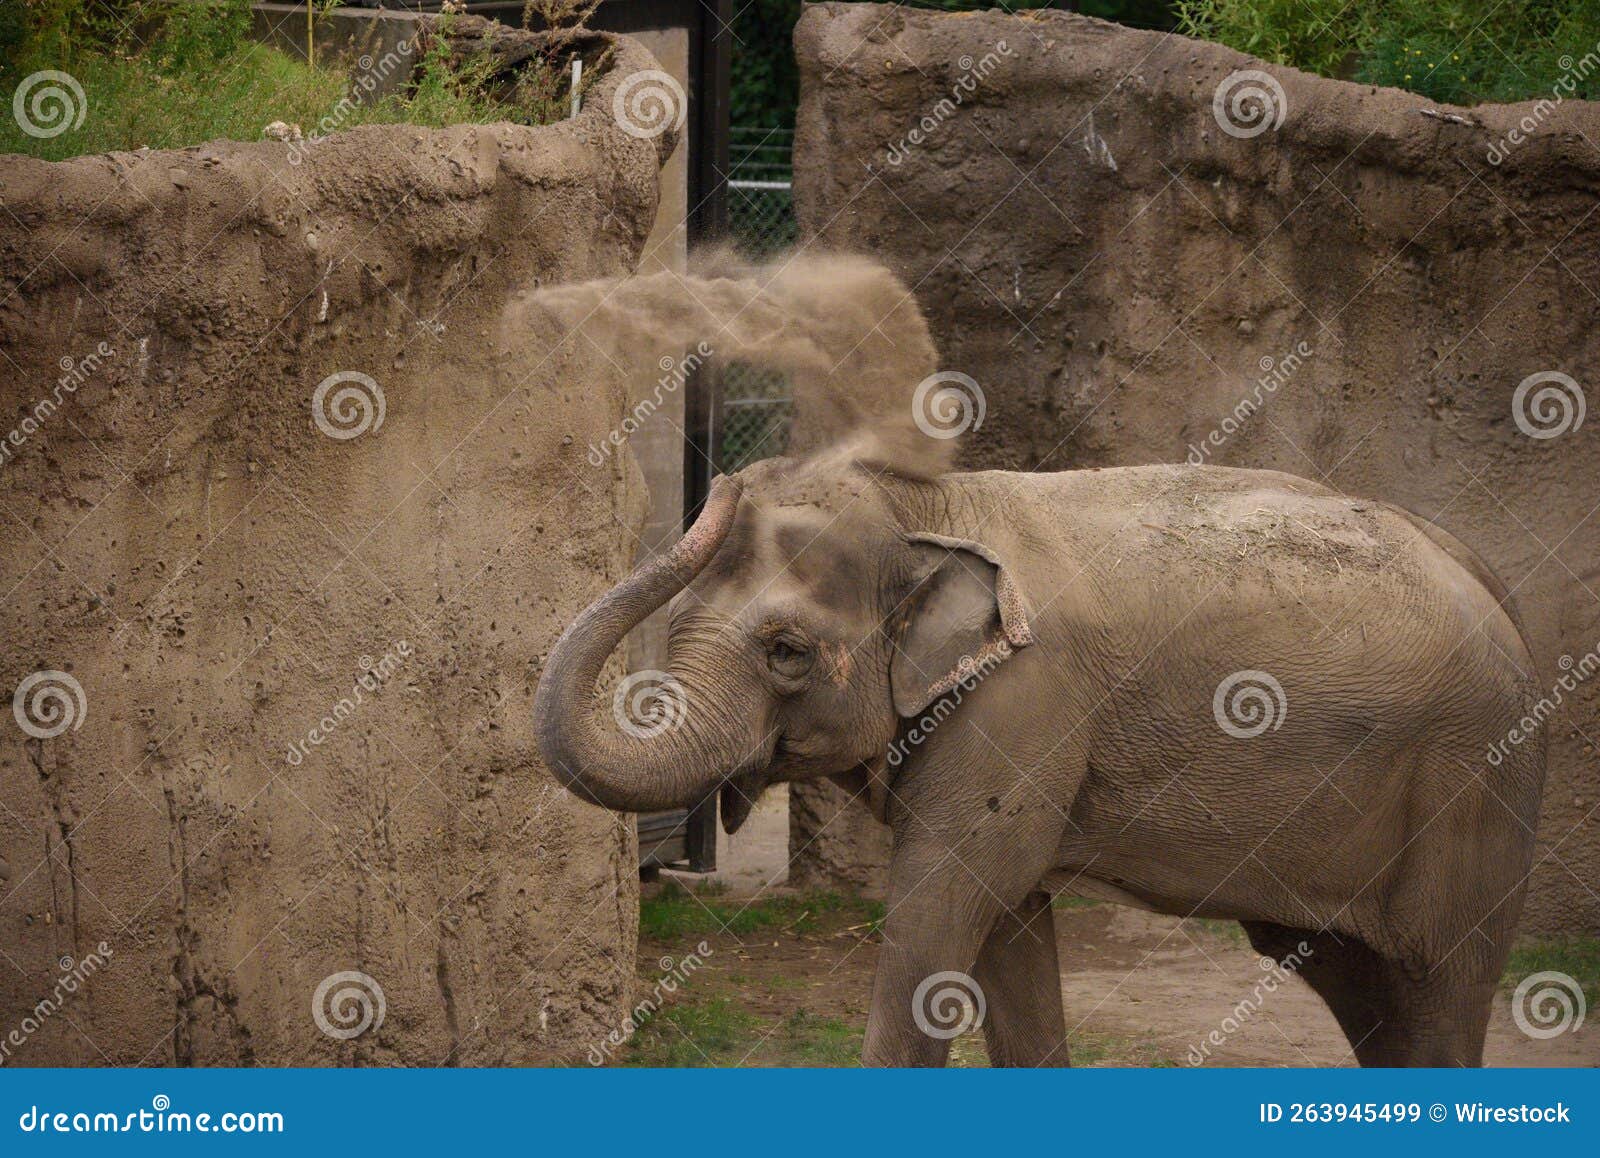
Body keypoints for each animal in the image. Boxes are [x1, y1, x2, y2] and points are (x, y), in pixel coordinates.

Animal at [527, 256, 1544, 1067]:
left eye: (786, 651)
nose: (726, 483)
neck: (934, 508)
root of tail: (1493, 585)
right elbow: (1010, 934)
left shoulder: (1020, 709)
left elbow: (942, 911)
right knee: (1364, 988)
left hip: (1472, 788)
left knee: (1437, 984)